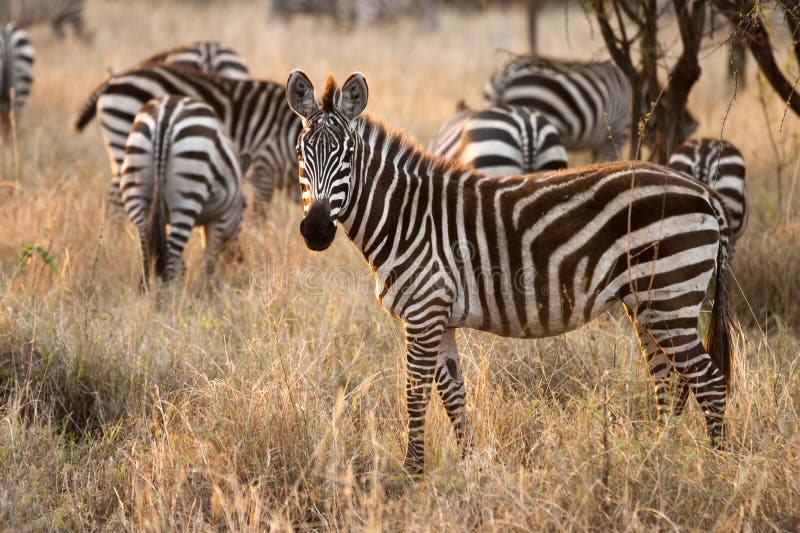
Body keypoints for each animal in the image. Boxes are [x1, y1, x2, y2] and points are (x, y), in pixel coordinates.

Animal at [72, 64, 302, 211]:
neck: (287, 131)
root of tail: (113, 80)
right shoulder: (264, 168)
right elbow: (259, 215)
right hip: (127, 143)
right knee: (115, 201)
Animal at [120, 96, 249, 286]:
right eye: (245, 206)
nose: (239, 258)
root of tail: (165, 118)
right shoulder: (220, 218)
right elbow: (209, 260)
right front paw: (208, 289)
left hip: (135, 186)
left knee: (146, 247)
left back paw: (147, 289)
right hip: (188, 193)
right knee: (172, 252)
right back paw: (169, 292)